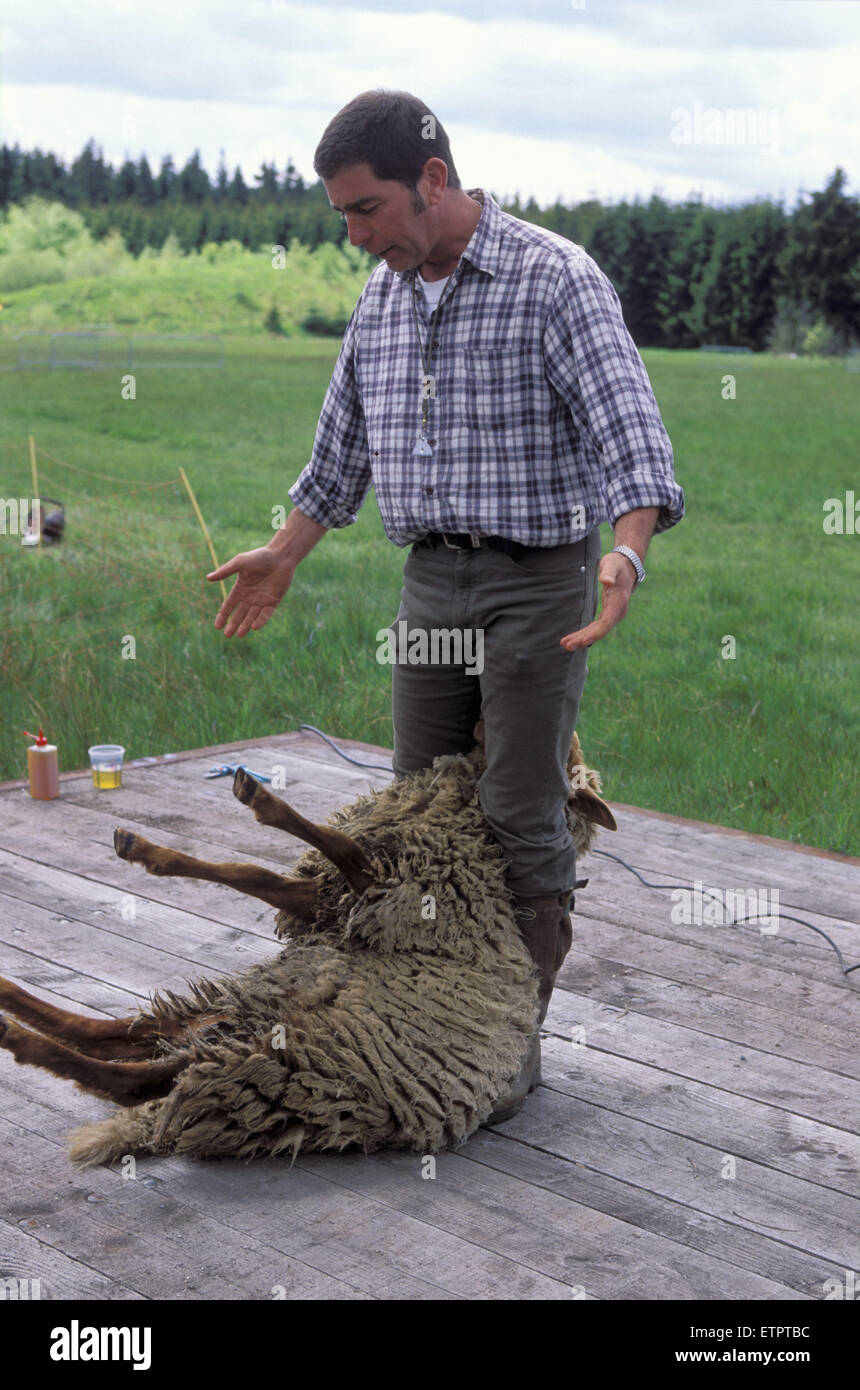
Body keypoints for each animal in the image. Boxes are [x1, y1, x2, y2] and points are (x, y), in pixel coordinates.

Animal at [0, 730, 616, 1168]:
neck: (473, 832)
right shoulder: (331, 903)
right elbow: (254, 873)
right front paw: (147, 850)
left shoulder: (385, 889)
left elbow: (324, 847)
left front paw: (257, 798)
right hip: (239, 1005)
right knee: (117, 1037)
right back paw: (13, 1002)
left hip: (271, 1066)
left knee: (136, 1077)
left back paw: (19, 1037)